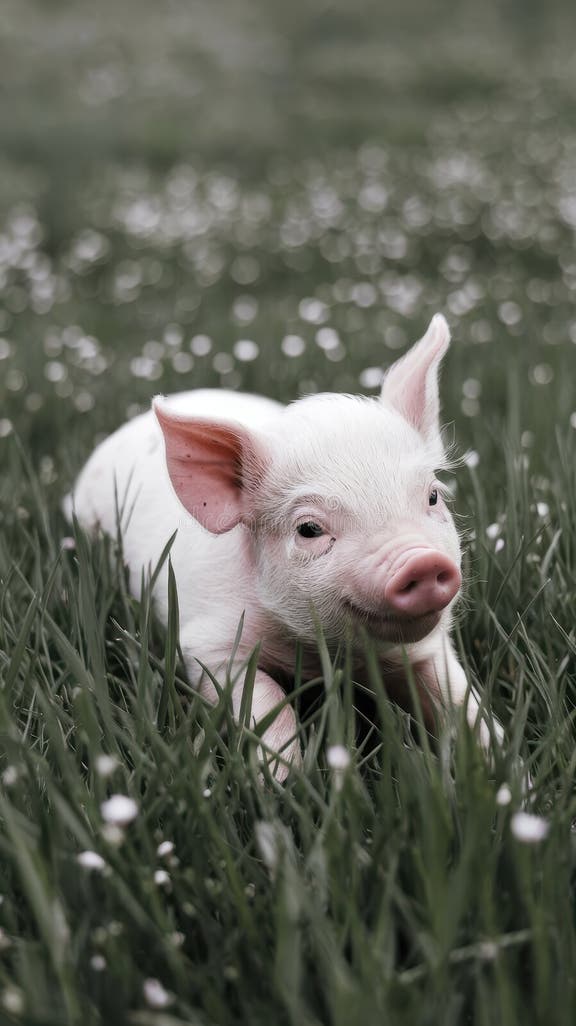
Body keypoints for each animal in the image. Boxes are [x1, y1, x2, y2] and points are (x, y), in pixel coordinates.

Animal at [69, 314, 500, 777]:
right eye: (309, 528)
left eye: (433, 497)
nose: (420, 561)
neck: (324, 657)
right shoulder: (208, 645)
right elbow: (264, 702)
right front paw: (282, 779)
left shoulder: (426, 646)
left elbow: (459, 700)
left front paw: (502, 769)